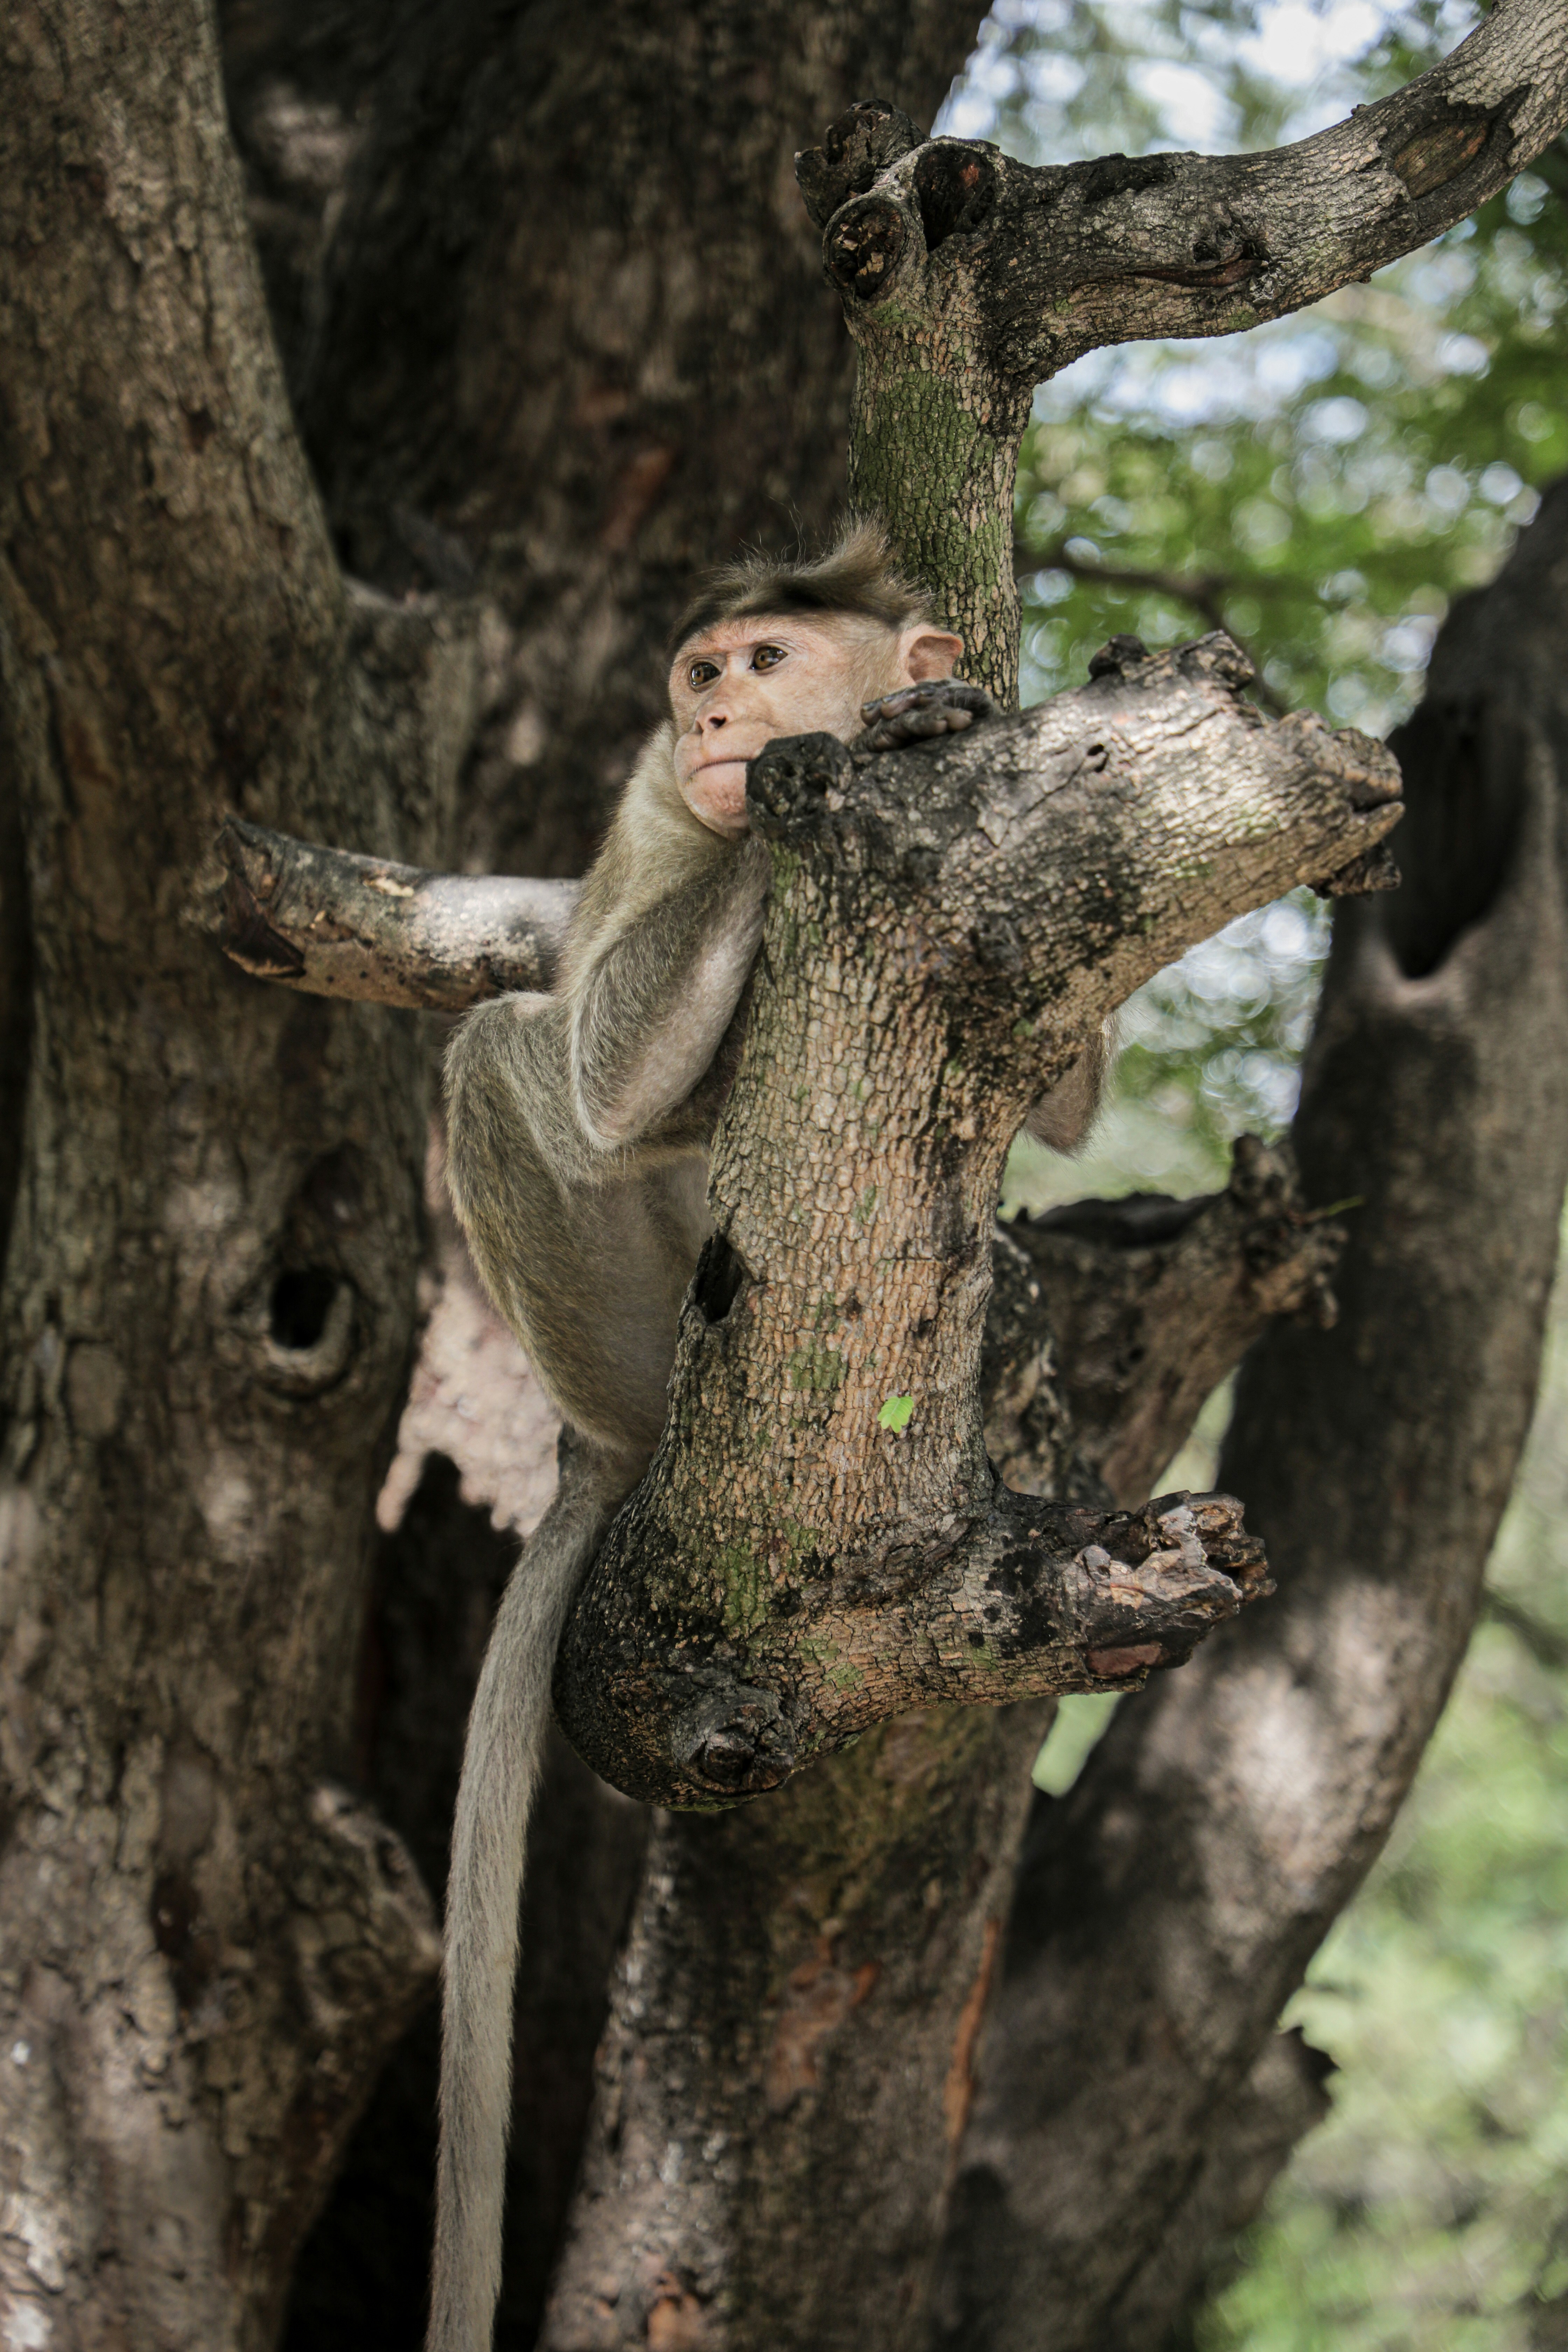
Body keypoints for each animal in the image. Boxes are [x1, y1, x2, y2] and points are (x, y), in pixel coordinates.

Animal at [428, 523, 1106, 2352]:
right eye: (701, 674)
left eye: (767, 654)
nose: (718, 712)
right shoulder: (652, 806)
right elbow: (601, 1058)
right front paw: (849, 762)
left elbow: (1056, 1092)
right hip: (624, 1315)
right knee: (507, 1050)